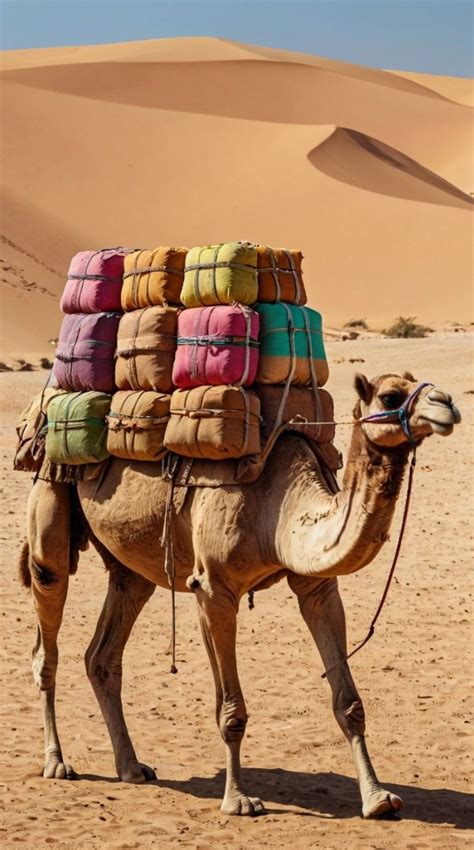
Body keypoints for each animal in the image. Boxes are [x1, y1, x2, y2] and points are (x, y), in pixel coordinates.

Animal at [19, 372, 460, 819]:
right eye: (390, 396)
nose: (447, 404)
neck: (278, 510)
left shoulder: (317, 586)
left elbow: (349, 704)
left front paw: (378, 798)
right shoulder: (214, 587)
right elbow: (231, 711)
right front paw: (238, 800)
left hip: (132, 563)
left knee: (104, 651)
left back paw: (131, 767)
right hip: (49, 504)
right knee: (46, 631)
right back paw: (56, 762)